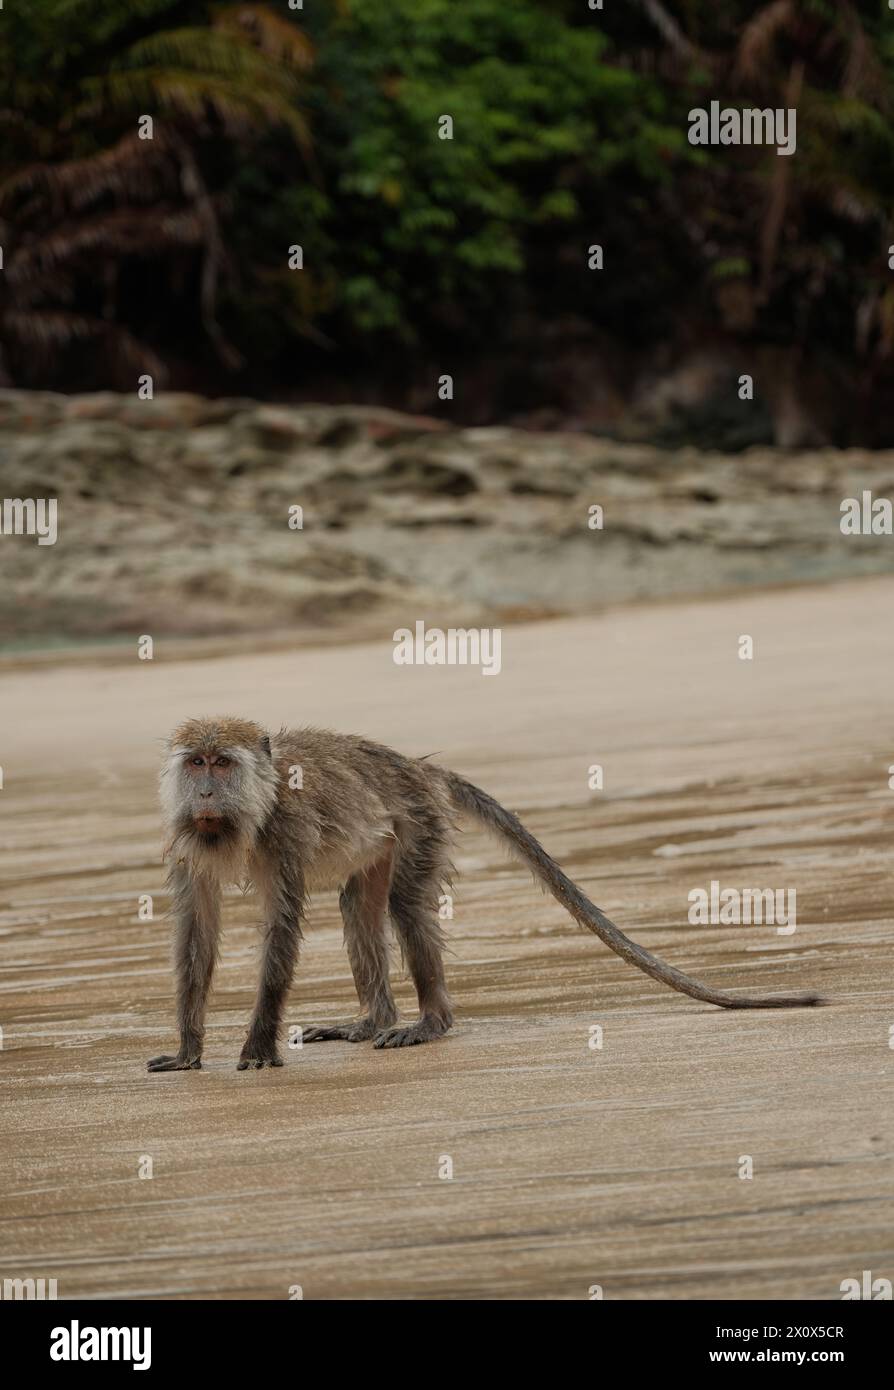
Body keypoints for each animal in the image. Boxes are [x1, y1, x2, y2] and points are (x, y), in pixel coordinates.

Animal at [147, 716, 823, 1071]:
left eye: (223, 764)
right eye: (196, 763)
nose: (204, 794)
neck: (248, 813)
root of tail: (417, 768)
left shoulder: (285, 832)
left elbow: (281, 932)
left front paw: (258, 1045)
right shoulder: (186, 841)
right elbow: (197, 933)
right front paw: (187, 1051)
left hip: (417, 819)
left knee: (404, 905)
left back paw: (429, 1023)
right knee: (361, 906)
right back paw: (374, 1022)